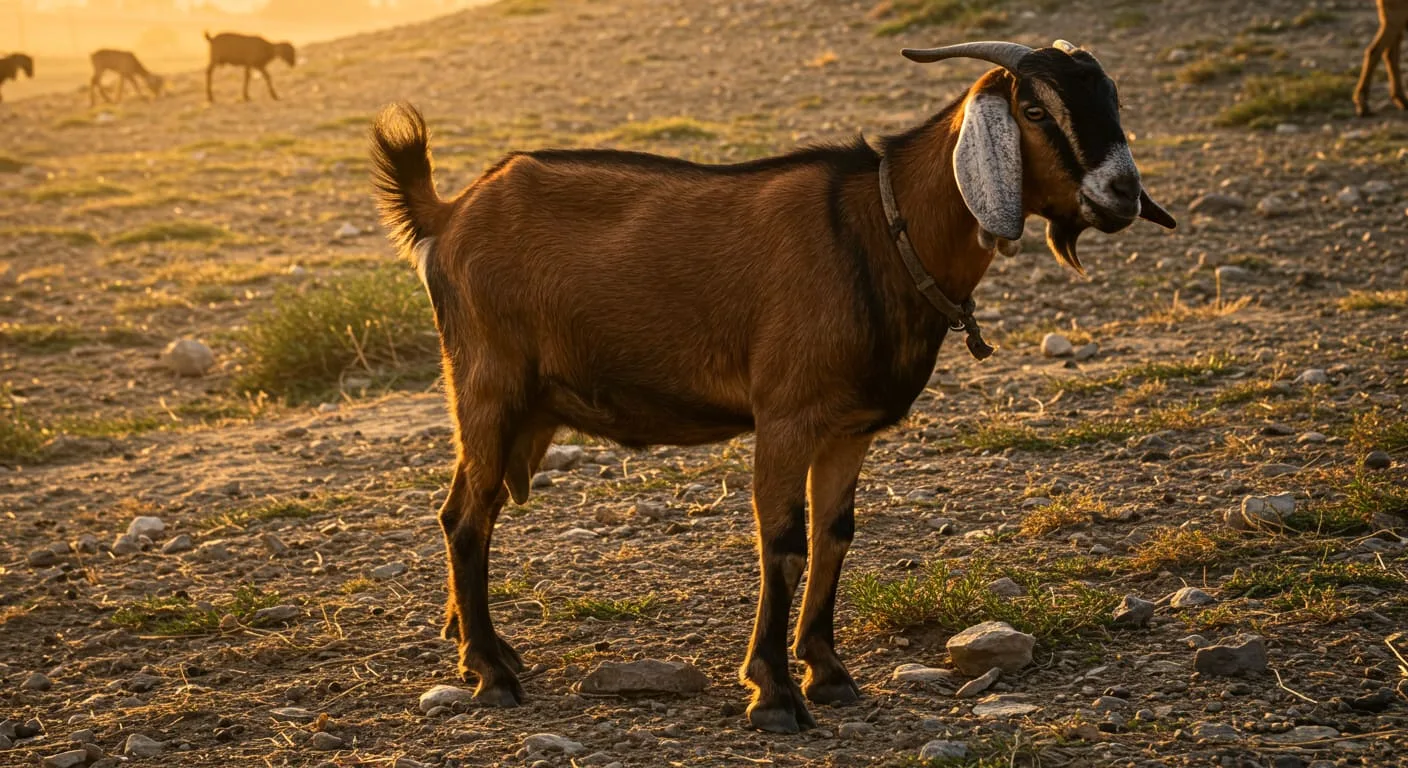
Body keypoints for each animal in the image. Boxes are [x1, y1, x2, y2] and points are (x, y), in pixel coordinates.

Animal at [370, 39, 1175, 733]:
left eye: (1112, 97)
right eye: (1035, 110)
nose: (1123, 192)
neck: (882, 229)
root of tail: (450, 211)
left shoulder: (850, 428)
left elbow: (835, 535)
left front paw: (829, 673)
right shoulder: (787, 416)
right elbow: (783, 542)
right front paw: (775, 693)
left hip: (527, 412)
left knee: (474, 507)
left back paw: (483, 651)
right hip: (486, 387)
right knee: (464, 518)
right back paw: (491, 673)